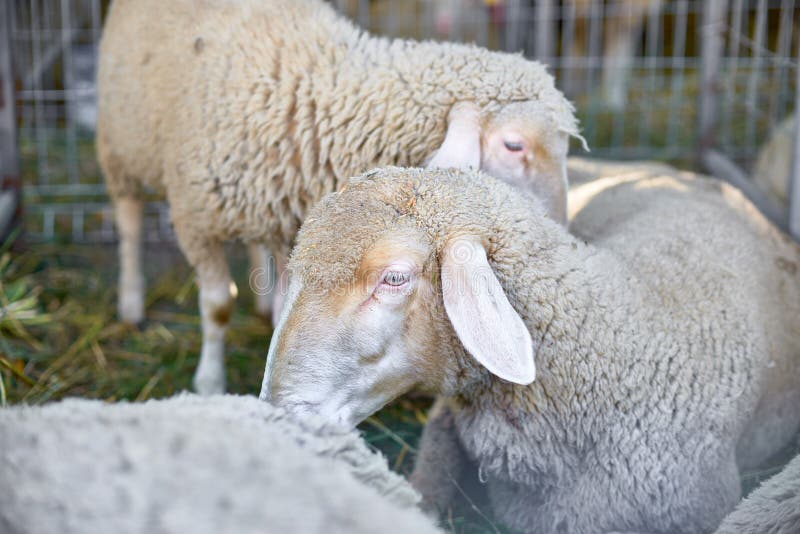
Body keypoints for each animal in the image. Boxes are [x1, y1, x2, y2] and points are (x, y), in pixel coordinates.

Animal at [96, 0, 585, 395]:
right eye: (514, 146)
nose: (559, 229)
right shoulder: (196, 220)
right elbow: (217, 309)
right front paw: (210, 383)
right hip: (118, 149)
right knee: (129, 223)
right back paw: (130, 302)